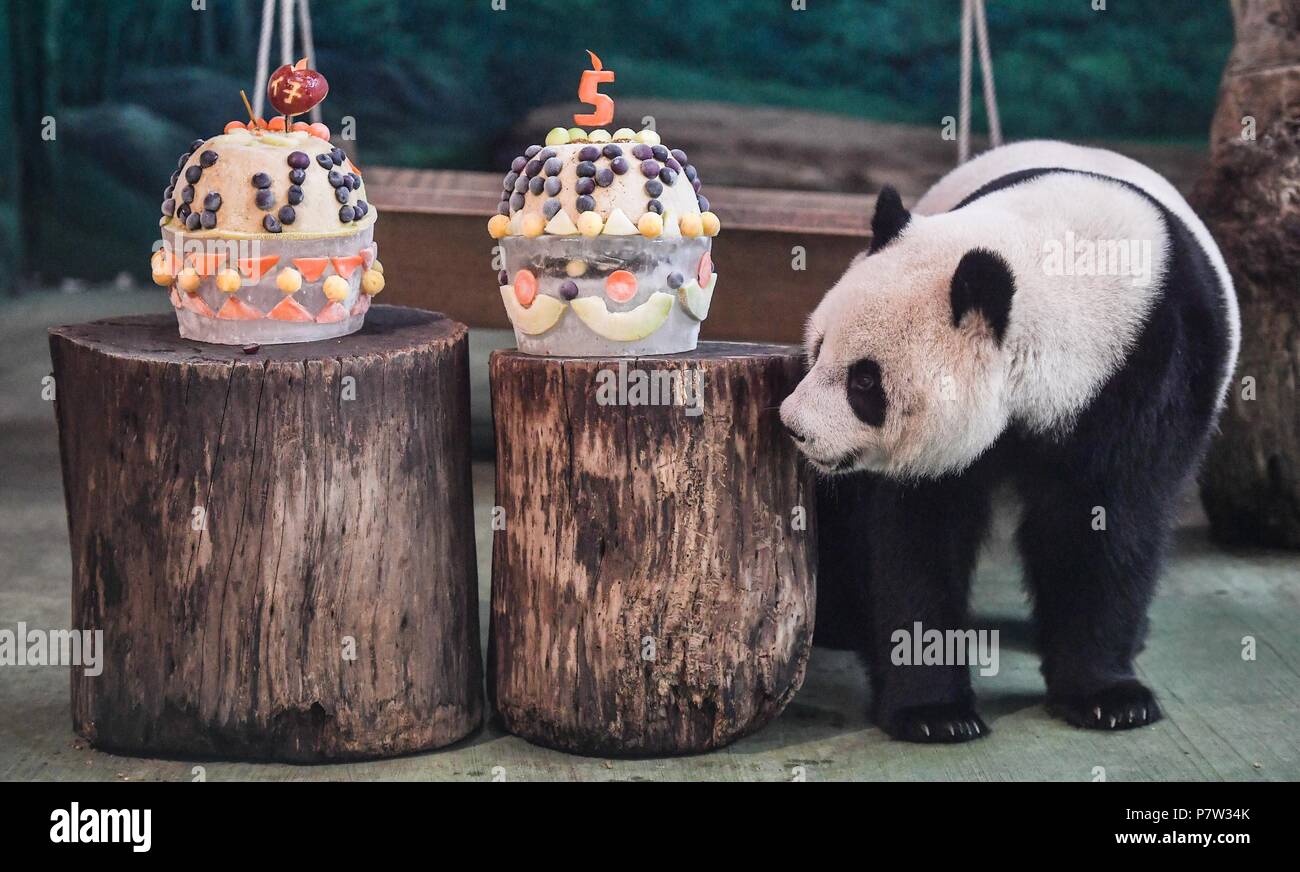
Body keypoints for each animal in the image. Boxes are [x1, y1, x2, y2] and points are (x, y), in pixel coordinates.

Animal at [780, 140, 1239, 743]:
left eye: (864, 383)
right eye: (817, 349)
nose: (795, 426)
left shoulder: (1151, 376)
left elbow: (1110, 524)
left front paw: (1108, 698)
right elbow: (912, 539)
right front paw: (934, 711)